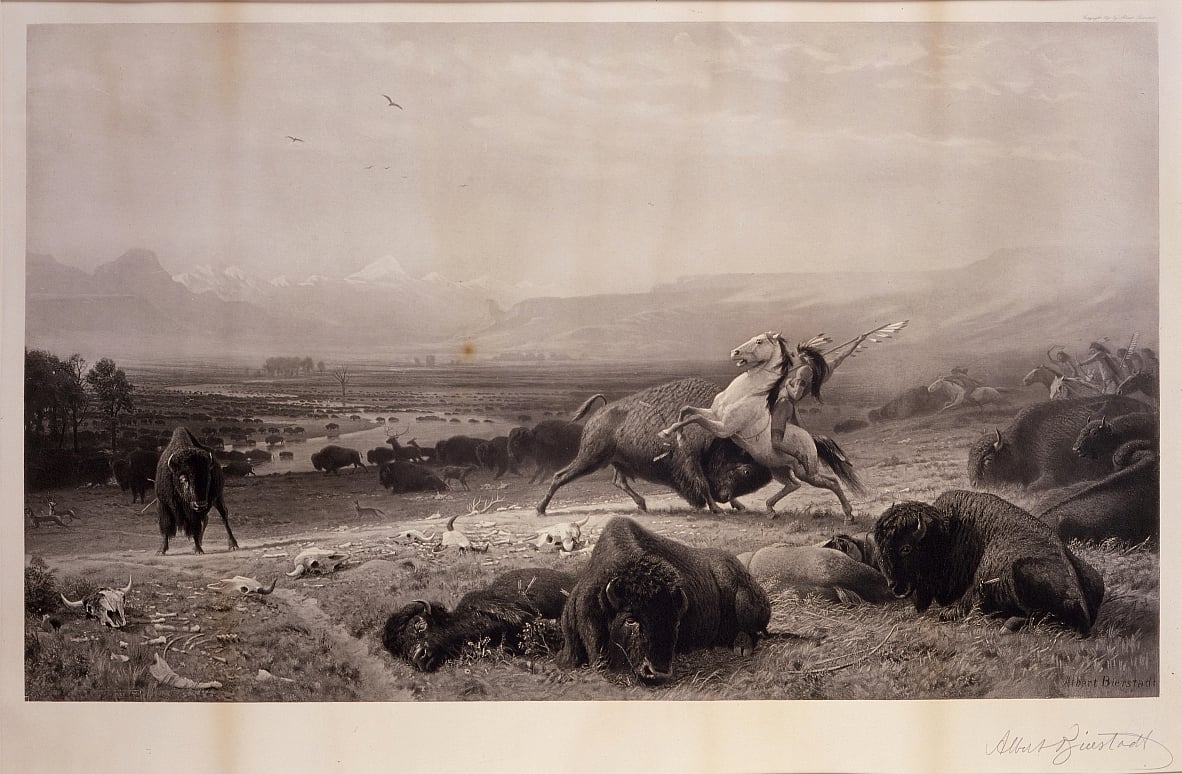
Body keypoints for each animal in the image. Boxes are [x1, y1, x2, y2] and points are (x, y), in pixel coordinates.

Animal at [558, 516, 770, 683]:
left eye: (676, 623)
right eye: (631, 619)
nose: (658, 672)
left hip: (745, 603)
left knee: (753, 630)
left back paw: (741, 648)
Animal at [873, 490, 1104, 635]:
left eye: (906, 548)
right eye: (880, 548)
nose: (894, 586)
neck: (946, 534)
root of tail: (1081, 602)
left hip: (1021, 569)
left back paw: (1006, 625)